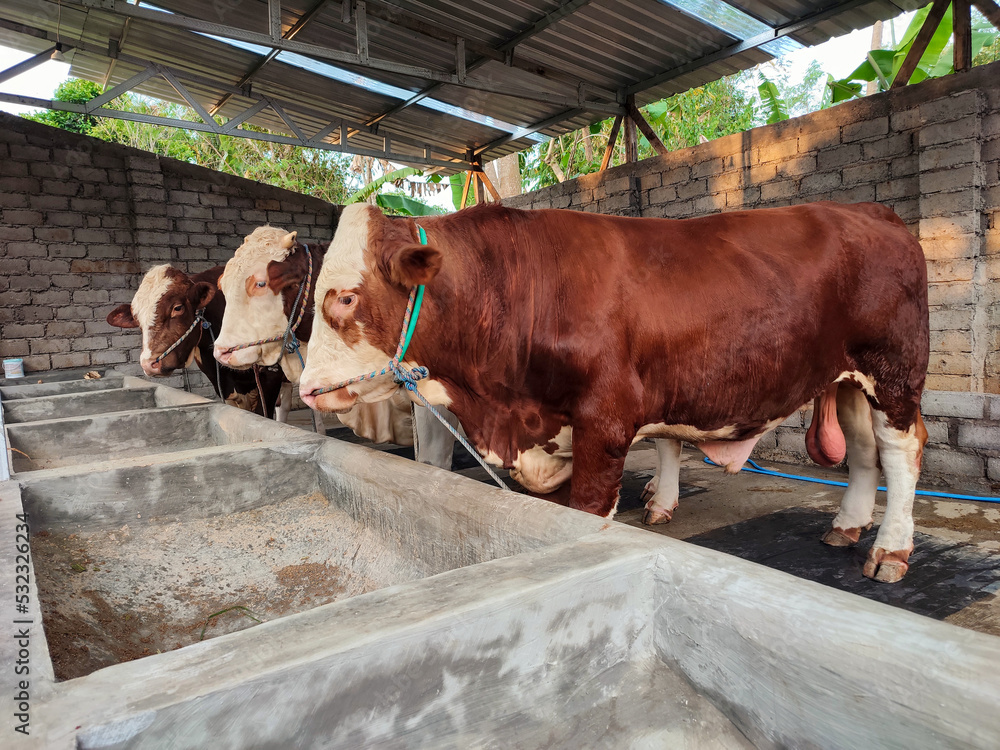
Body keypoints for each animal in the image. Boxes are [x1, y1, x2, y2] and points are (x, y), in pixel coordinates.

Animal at [299, 201, 930, 583]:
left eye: (347, 297)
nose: (305, 388)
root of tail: (871, 210)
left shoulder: (602, 423)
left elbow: (588, 512)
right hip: (847, 379)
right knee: (863, 451)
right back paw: (846, 525)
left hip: (894, 371)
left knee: (902, 450)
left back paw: (890, 550)